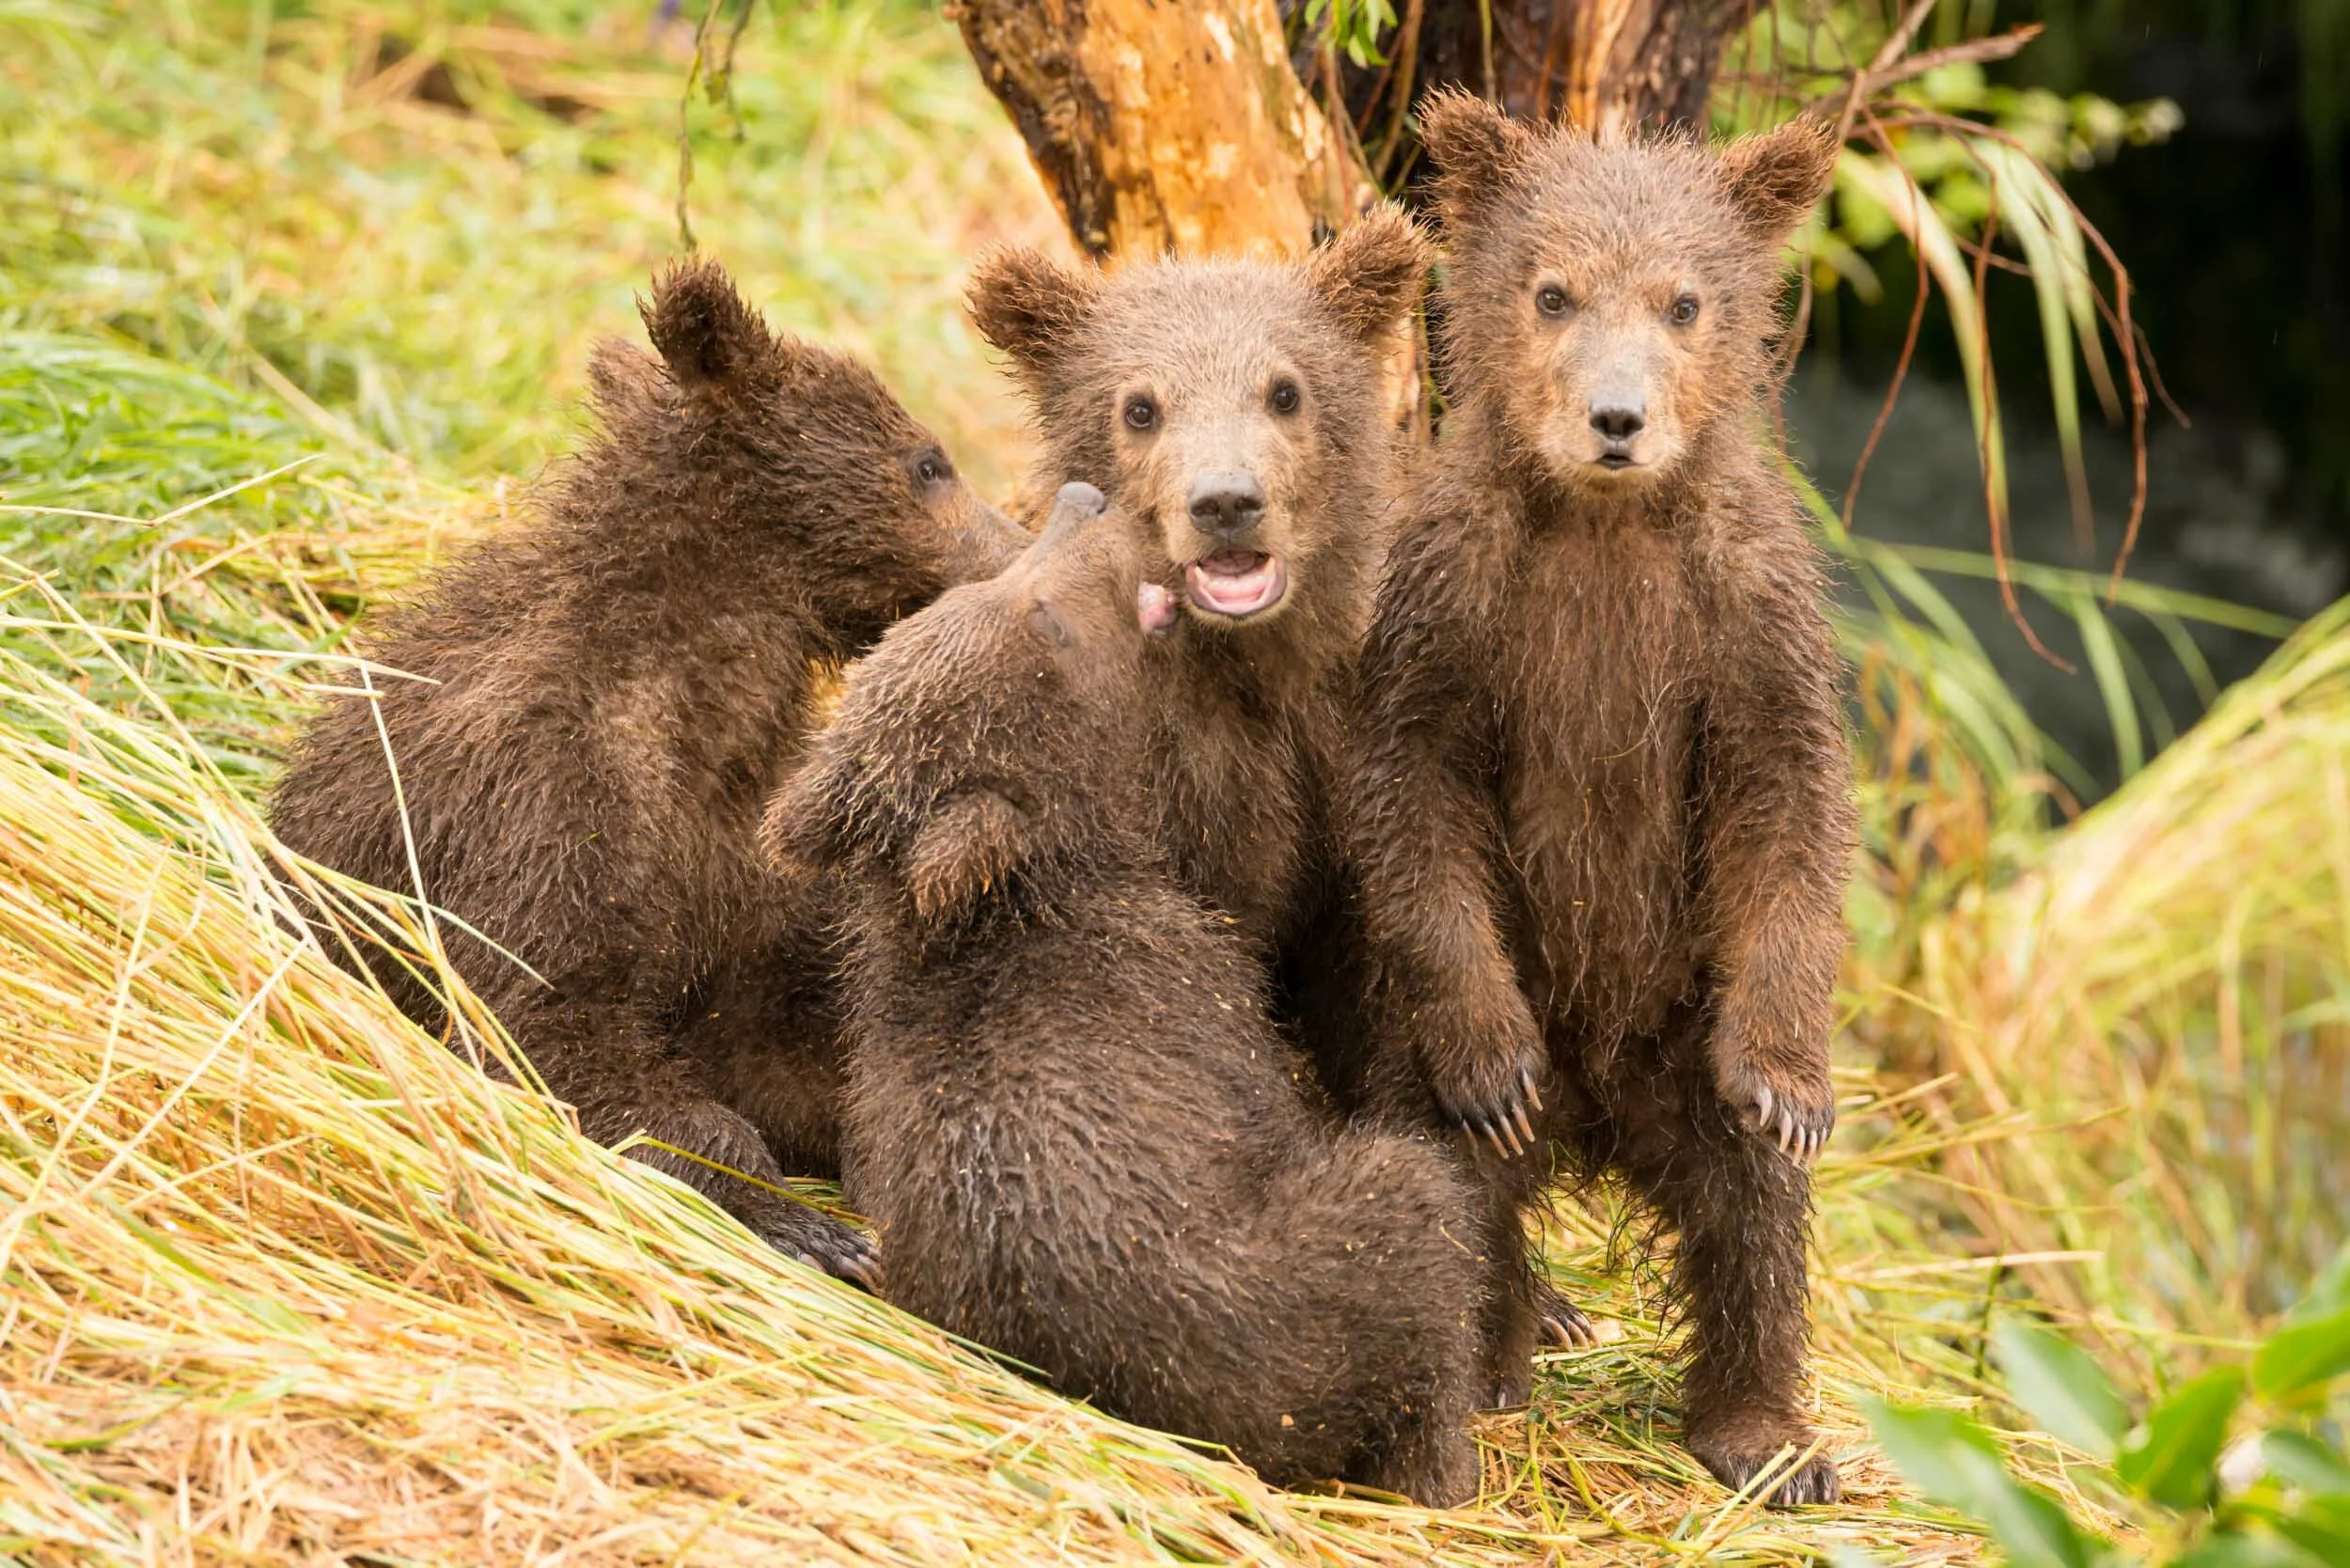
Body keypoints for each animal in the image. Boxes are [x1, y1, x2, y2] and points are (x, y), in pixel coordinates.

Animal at [268, 256, 1028, 1285]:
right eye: (928, 460)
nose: (1021, 547)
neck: (703, 695)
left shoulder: (751, 853)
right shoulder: (541, 807)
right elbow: (550, 1028)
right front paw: (815, 1226)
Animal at [765, 483, 1485, 1508]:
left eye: (972, 596)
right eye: (1048, 623)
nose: (1083, 499)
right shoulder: (1209, 988)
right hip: (1346, 1271)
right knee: (1424, 1278)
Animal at [1343, 95, 1856, 1506]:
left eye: (1683, 301)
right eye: (1553, 291)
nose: (1616, 418)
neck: (1606, 525)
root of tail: (1606, 1122)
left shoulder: (1744, 623)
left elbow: (1792, 813)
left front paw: (1791, 1088)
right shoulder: (1459, 610)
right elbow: (1413, 794)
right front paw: (1490, 1063)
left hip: (1686, 1026)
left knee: (1750, 1213)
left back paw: (1762, 1431)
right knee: (1459, 1184)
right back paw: (1495, 1352)